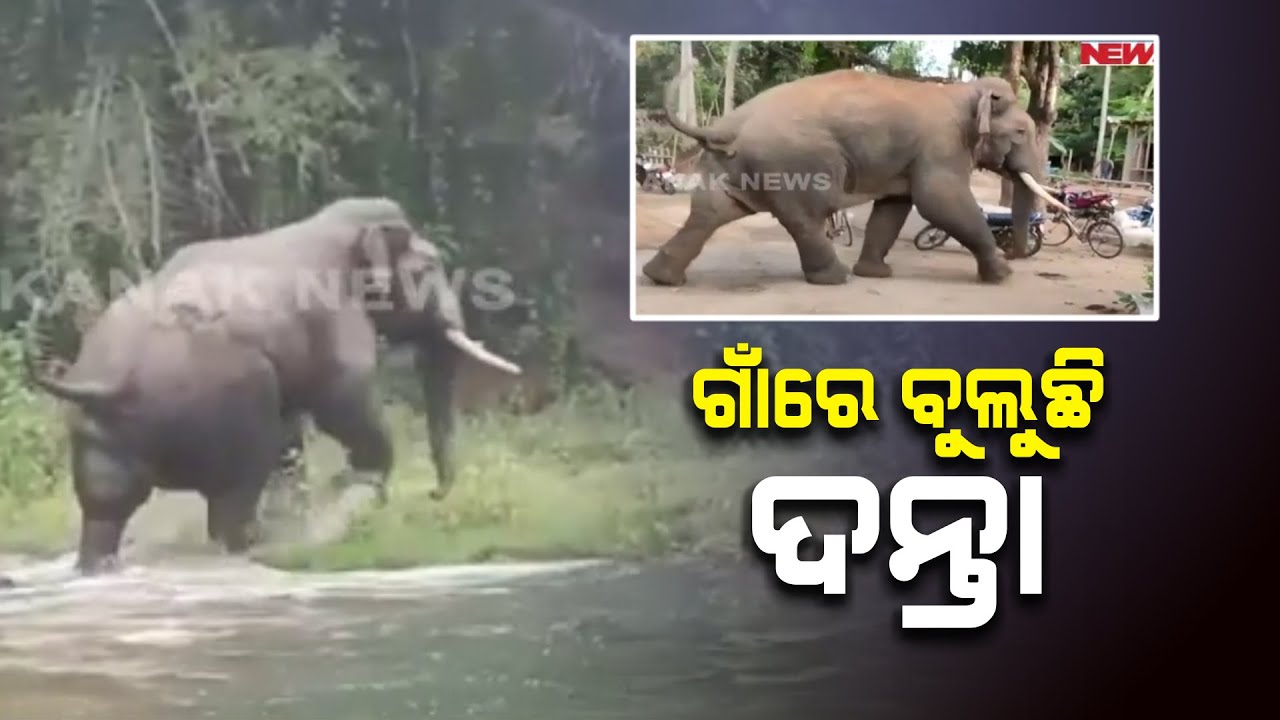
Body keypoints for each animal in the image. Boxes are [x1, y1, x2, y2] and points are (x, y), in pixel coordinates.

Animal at [25, 197, 522, 574]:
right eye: (430, 267)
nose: (434, 493)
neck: (339, 227)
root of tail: (107, 381)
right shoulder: (332, 317)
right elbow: (343, 399)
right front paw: (363, 486)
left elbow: (298, 423)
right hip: (225, 398)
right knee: (237, 483)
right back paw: (255, 543)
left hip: (98, 432)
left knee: (106, 503)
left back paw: (102, 565)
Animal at [641, 68, 1077, 288]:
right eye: (1020, 132)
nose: (1018, 253)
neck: (963, 92)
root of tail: (724, 128)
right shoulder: (941, 144)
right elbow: (940, 200)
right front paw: (1001, 275)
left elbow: (895, 206)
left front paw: (878, 274)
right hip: (795, 160)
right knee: (807, 216)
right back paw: (833, 278)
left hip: (730, 166)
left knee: (709, 212)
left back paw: (660, 278)